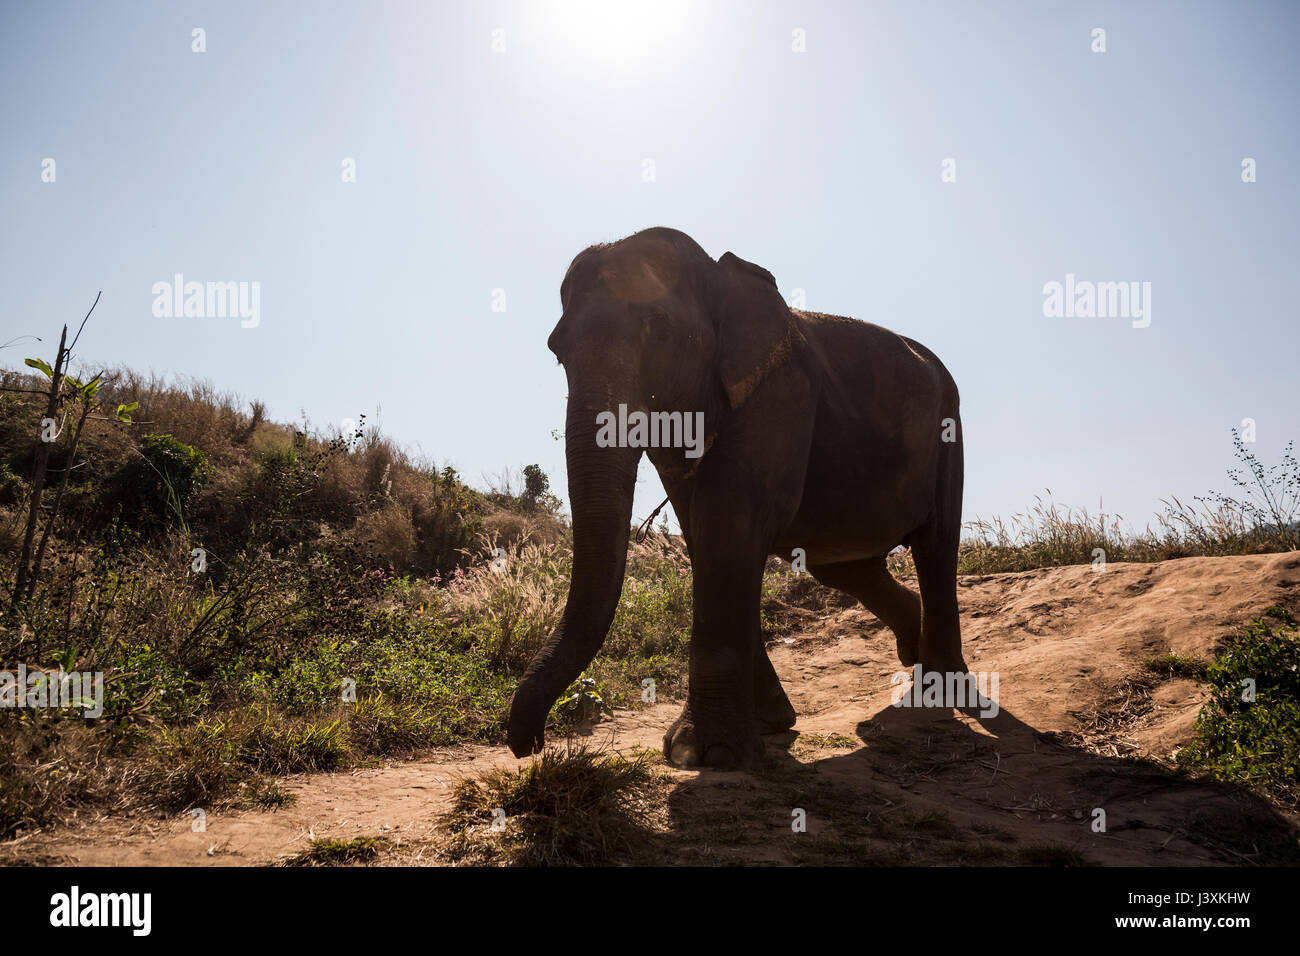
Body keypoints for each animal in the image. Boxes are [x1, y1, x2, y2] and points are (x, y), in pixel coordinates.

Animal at [506, 226, 967, 768]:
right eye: (557, 351)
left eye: (660, 330)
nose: (530, 745)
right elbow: (704, 533)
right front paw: (766, 727)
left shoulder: (780, 394)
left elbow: (728, 523)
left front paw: (707, 753)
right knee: (844, 567)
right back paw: (913, 650)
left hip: (950, 429)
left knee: (936, 547)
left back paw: (943, 689)